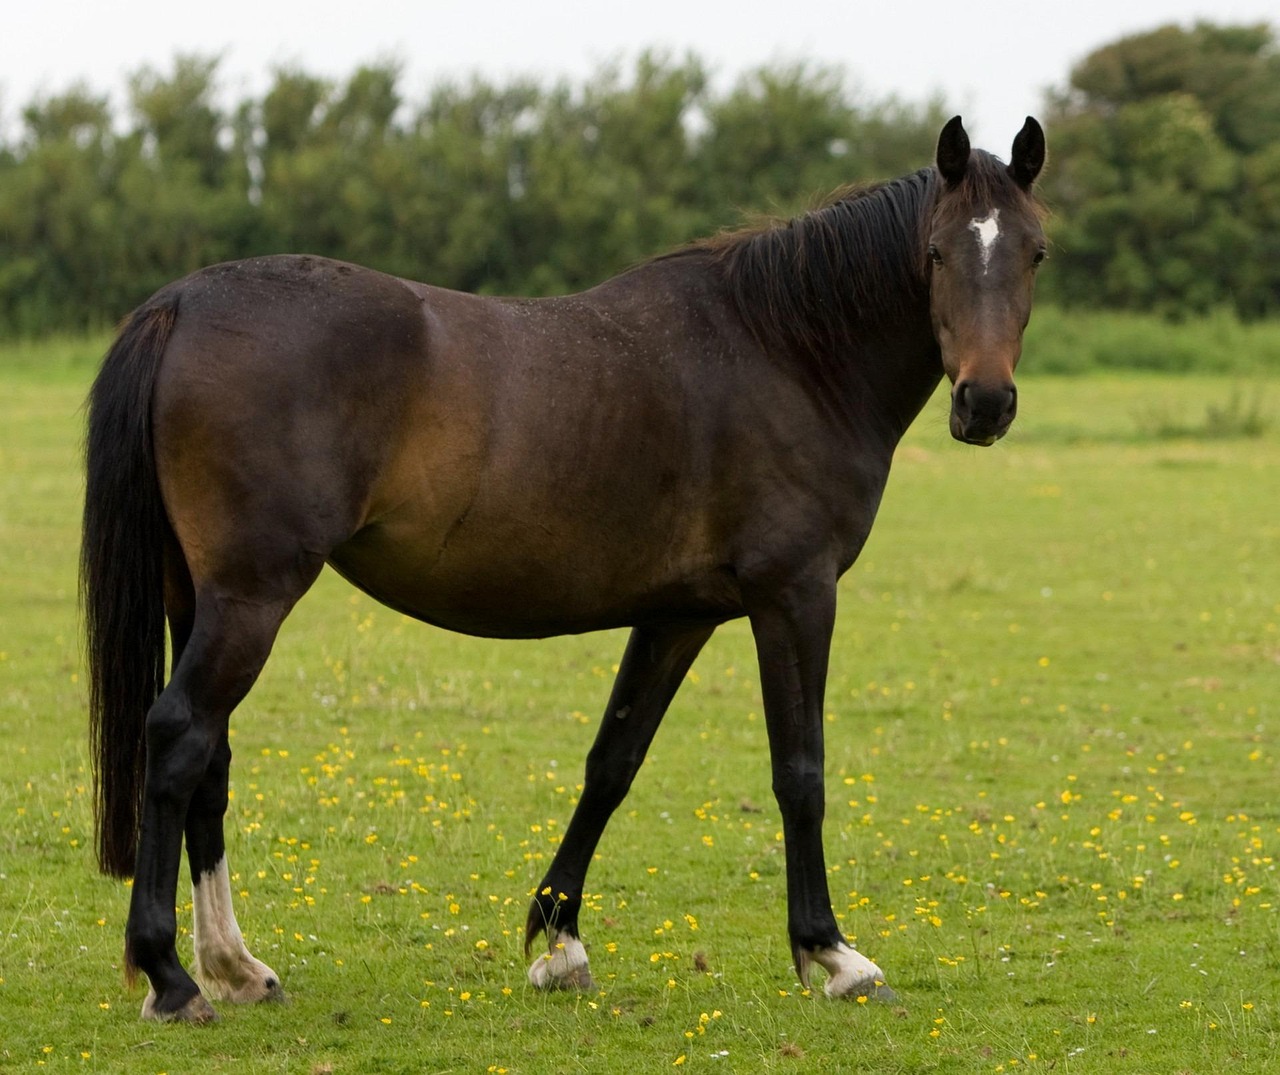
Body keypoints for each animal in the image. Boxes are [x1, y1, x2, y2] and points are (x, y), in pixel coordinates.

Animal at [81, 115, 1047, 1022]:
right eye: (936, 252)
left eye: (1034, 251)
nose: (985, 403)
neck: (789, 351)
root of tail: (183, 302)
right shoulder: (795, 594)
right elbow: (799, 772)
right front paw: (832, 954)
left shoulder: (678, 614)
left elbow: (612, 761)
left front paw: (559, 938)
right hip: (252, 597)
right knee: (179, 736)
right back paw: (172, 976)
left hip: (200, 598)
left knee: (210, 757)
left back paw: (236, 966)